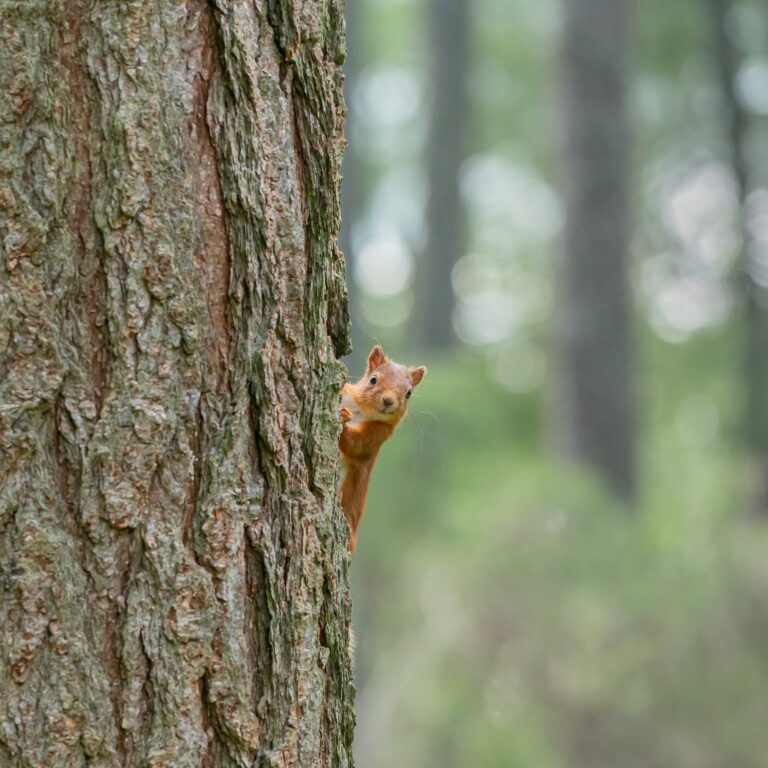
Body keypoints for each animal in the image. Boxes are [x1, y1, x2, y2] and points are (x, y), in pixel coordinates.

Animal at [338, 345, 426, 553]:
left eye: (409, 393)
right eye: (373, 379)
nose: (388, 401)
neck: (360, 411)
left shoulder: (377, 435)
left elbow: (355, 445)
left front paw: (343, 423)